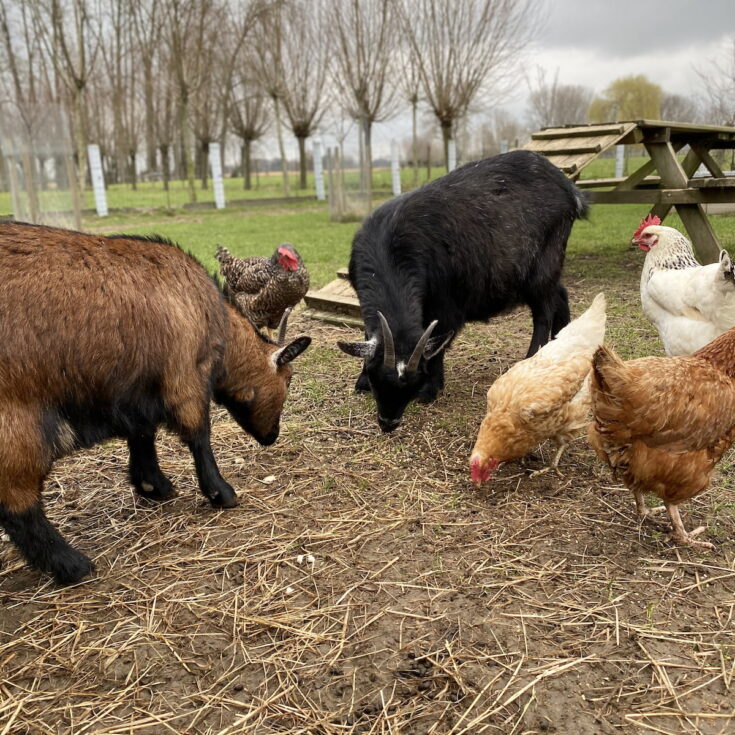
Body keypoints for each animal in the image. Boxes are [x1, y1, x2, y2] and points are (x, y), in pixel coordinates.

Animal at [0, 223, 310, 585]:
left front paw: (152, 484)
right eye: (288, 380)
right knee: (17, 501)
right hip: (18, 420)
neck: (213, 317)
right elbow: (198, 435)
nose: (272, 436)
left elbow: (143, 433)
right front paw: (221, 493)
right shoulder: (184, 375)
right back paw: (71, 564)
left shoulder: (139, 390)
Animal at [338, 150, 587, 432]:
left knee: (543, 312)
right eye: (376, 376)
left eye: (415, 380)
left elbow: (439, 344)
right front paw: (361, 382)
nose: (388, 422)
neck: (390, 247)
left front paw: (431, 390)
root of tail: (569, 189)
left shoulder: (447, 306)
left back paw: (532, 358)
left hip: (545, 260)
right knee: (561, 295)